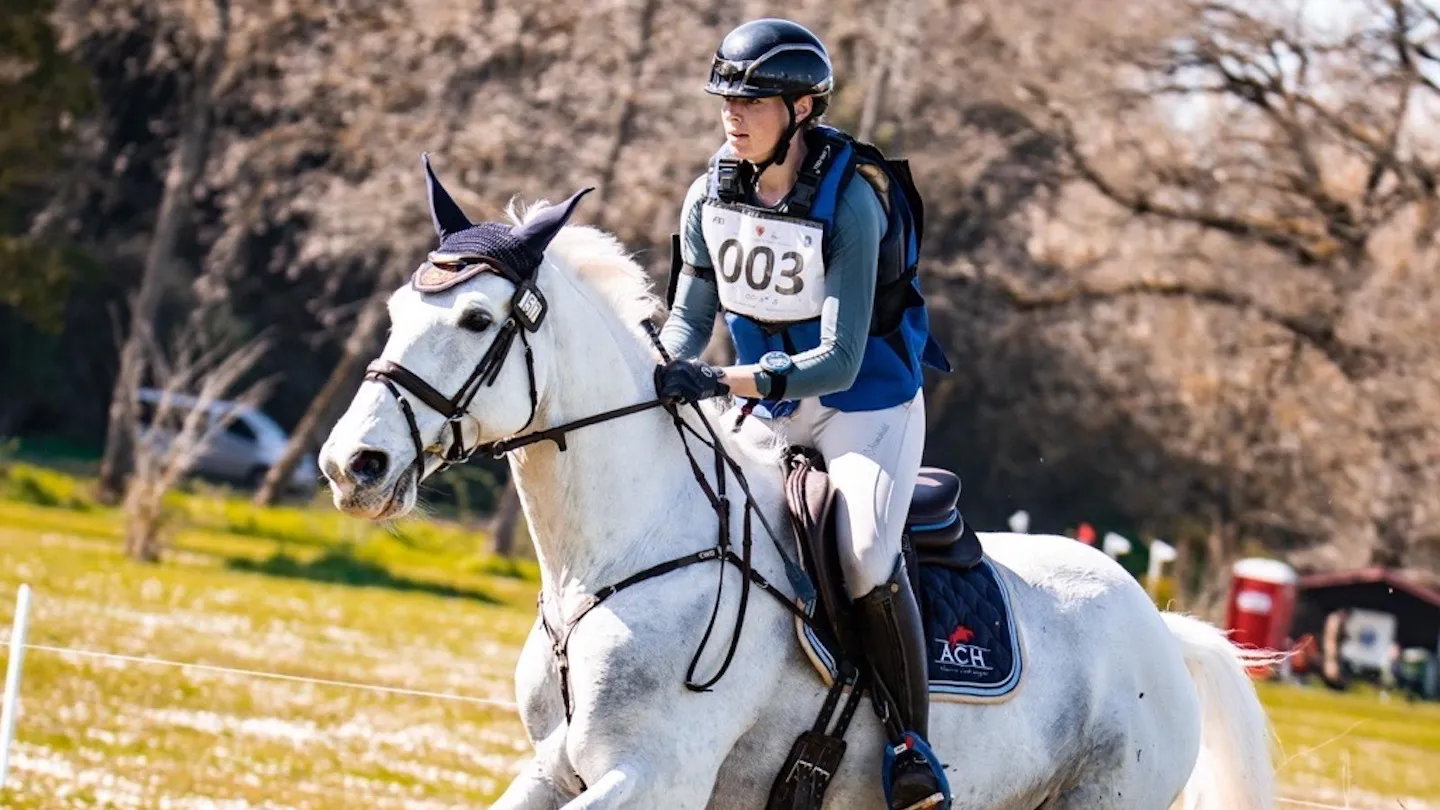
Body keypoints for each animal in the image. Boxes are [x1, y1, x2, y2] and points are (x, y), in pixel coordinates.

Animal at [317, 166, 1278, 810]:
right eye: (398, 312)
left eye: (477, 319)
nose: (350, 466)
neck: (619, 557)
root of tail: (1159, 626)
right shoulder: (558, 765)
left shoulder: (654, 776)